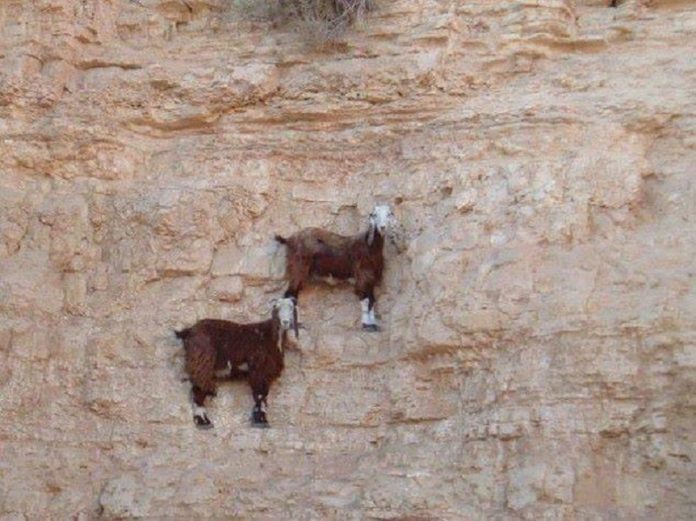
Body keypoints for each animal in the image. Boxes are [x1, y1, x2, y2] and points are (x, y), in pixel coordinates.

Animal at [175, 297, 298, 429]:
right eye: (276, 307)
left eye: (291, 307)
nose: (285, 322)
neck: (268, 335)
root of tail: (188, 331)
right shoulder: (258, 369)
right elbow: (260, 395)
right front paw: (260, 421)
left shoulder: (267, 372)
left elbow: (263, 395)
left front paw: (262, 419)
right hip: (202, 363)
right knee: (198, 390)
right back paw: (204, 422)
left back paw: (204, 421)